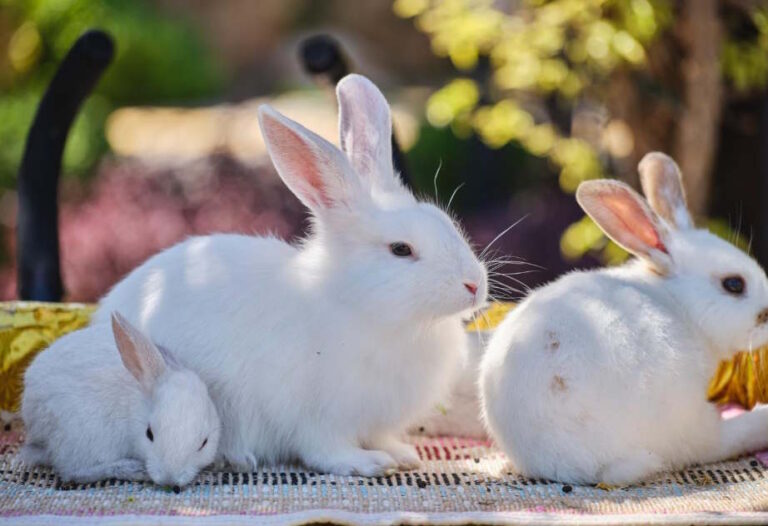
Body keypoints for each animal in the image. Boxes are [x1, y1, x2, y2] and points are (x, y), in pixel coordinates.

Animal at [20, 312, 221, 489]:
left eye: (204, 443)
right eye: (149, 434)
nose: (169, 480)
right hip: (85, 434)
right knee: (73, 471)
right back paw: (133, 469)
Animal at [93, 74, 488, 476]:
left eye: (447, 222)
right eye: (401, 249)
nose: (474, 284)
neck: (360, 307)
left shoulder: (372, 419)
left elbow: (379, 436)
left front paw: (402, 455)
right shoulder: (315, 414)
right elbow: (325, 449)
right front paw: (367, 463)